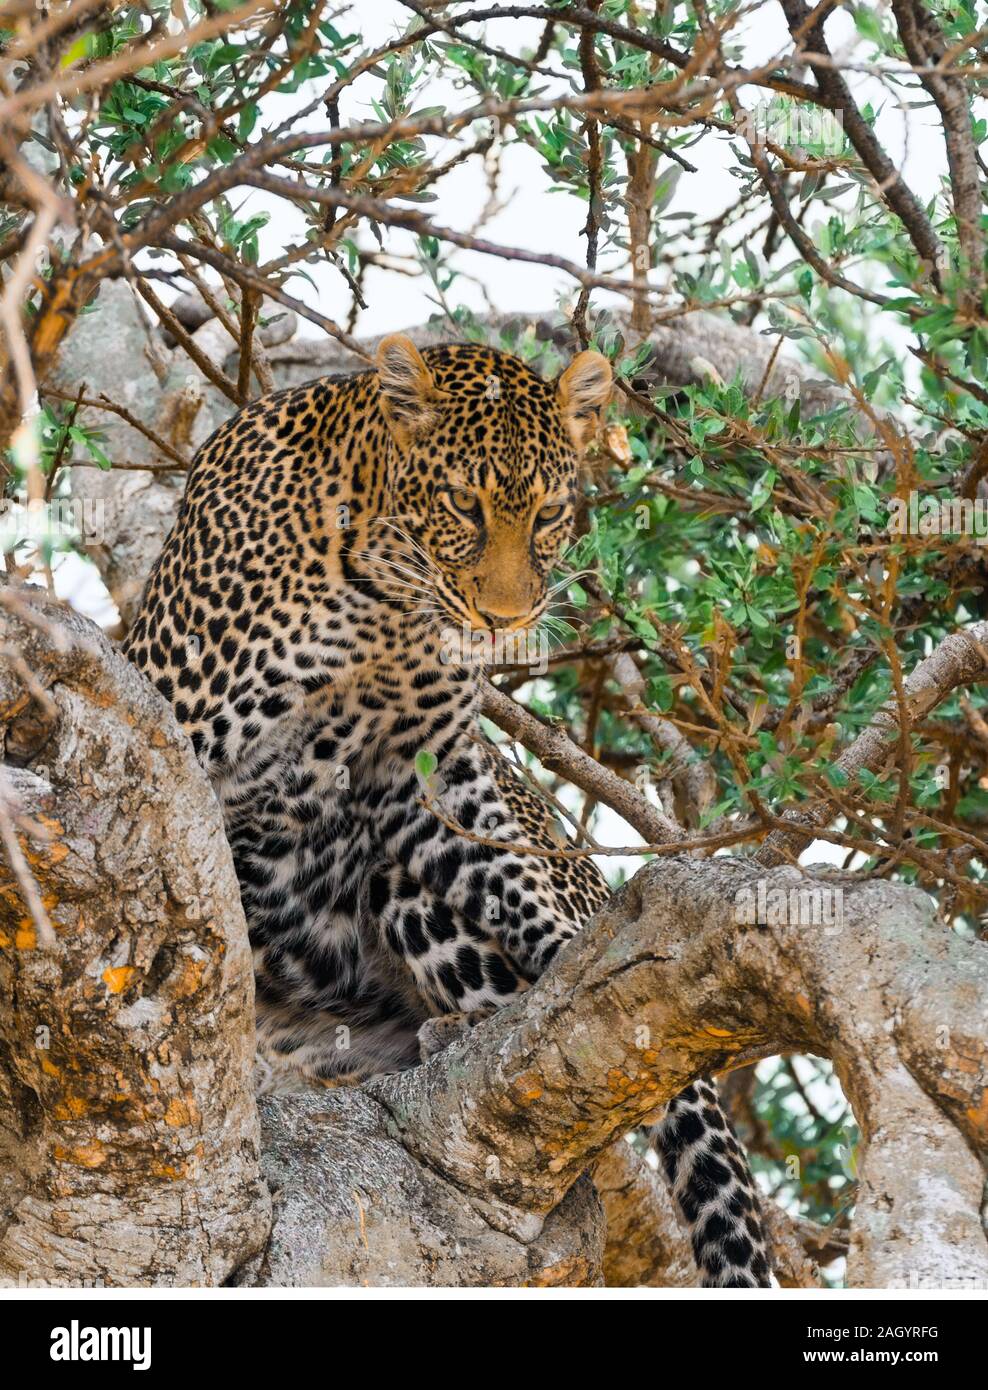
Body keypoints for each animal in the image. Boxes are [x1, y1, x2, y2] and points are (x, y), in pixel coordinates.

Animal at [123, 334, 770, 1288]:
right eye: (464, 503)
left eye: (548, 514)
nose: (505, 619)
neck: (383, 602)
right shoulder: (178, 730)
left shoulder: (424, 779)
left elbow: (509, 884)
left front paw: (569, 961)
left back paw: (462, 1030)